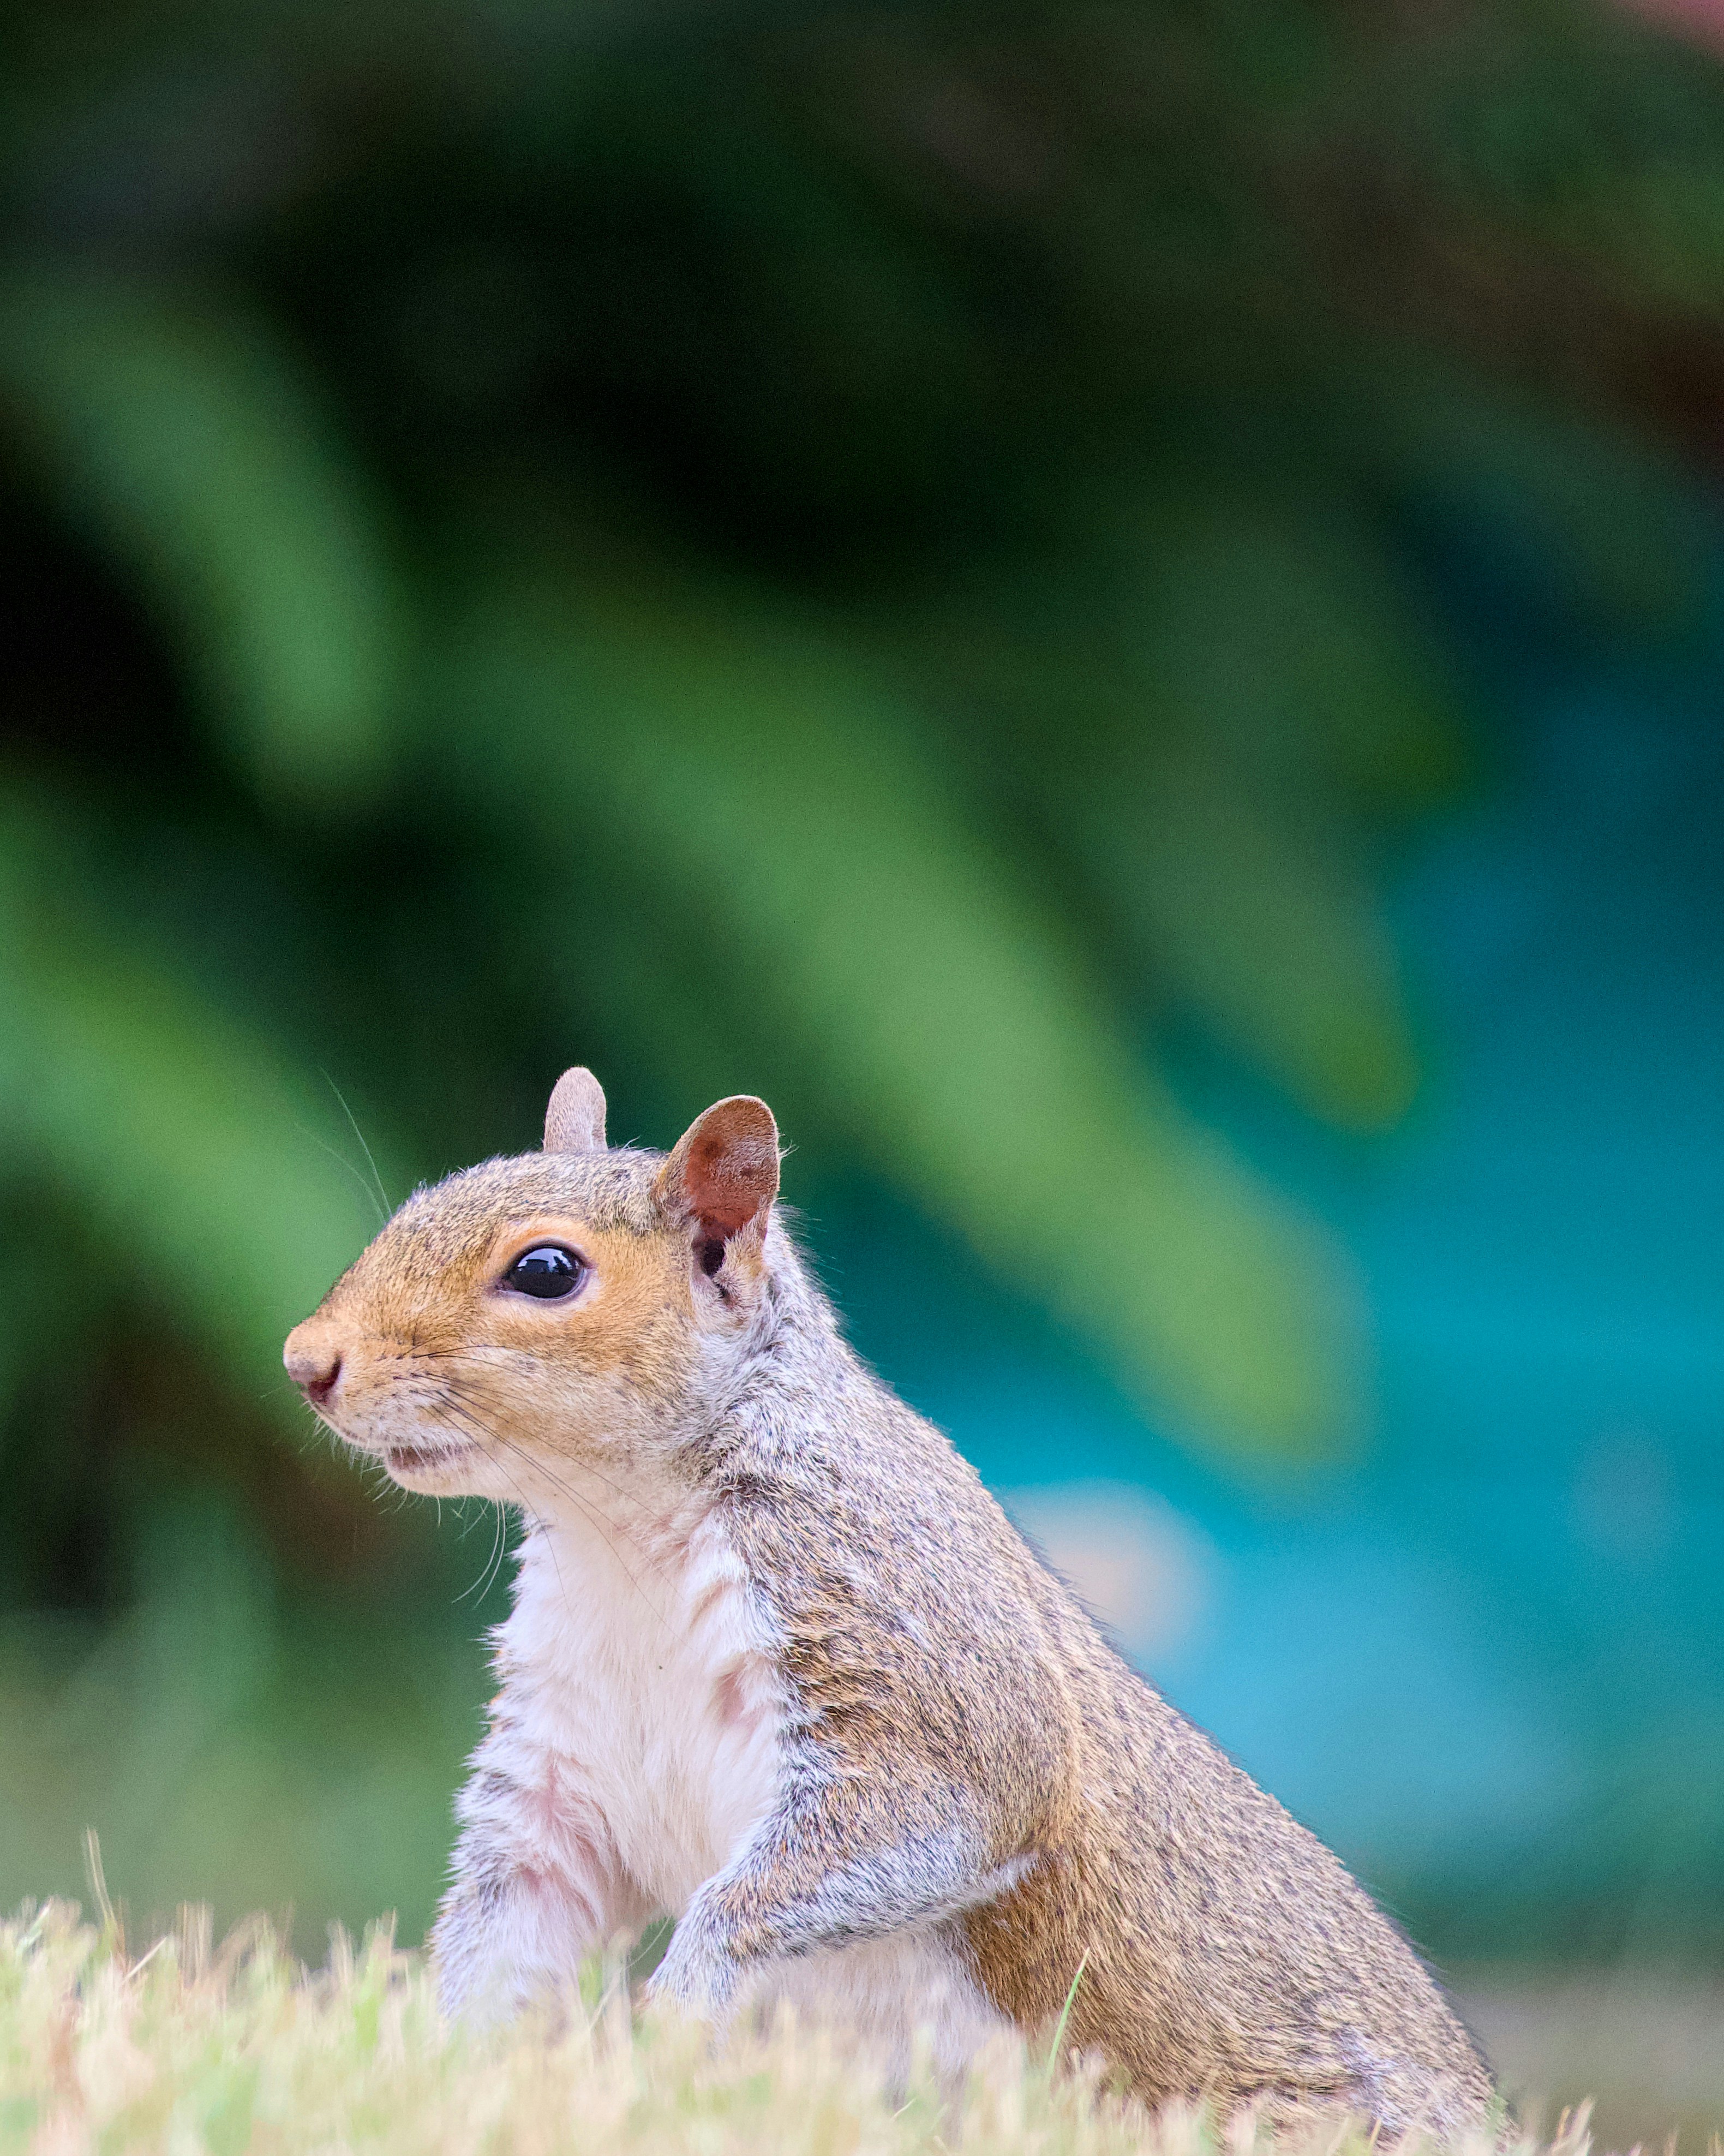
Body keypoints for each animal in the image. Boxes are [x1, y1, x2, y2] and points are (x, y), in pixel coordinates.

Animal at [284, 1067, 1494, 2131]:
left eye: (544, 1271)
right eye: (417, 1205)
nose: (305, 1360)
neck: (619, 1531)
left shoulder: (902, 1648)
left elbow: (921, 1819)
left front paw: (669, 2021)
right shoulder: (561, 1774)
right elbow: (511, 1929)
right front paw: (435, 2074)